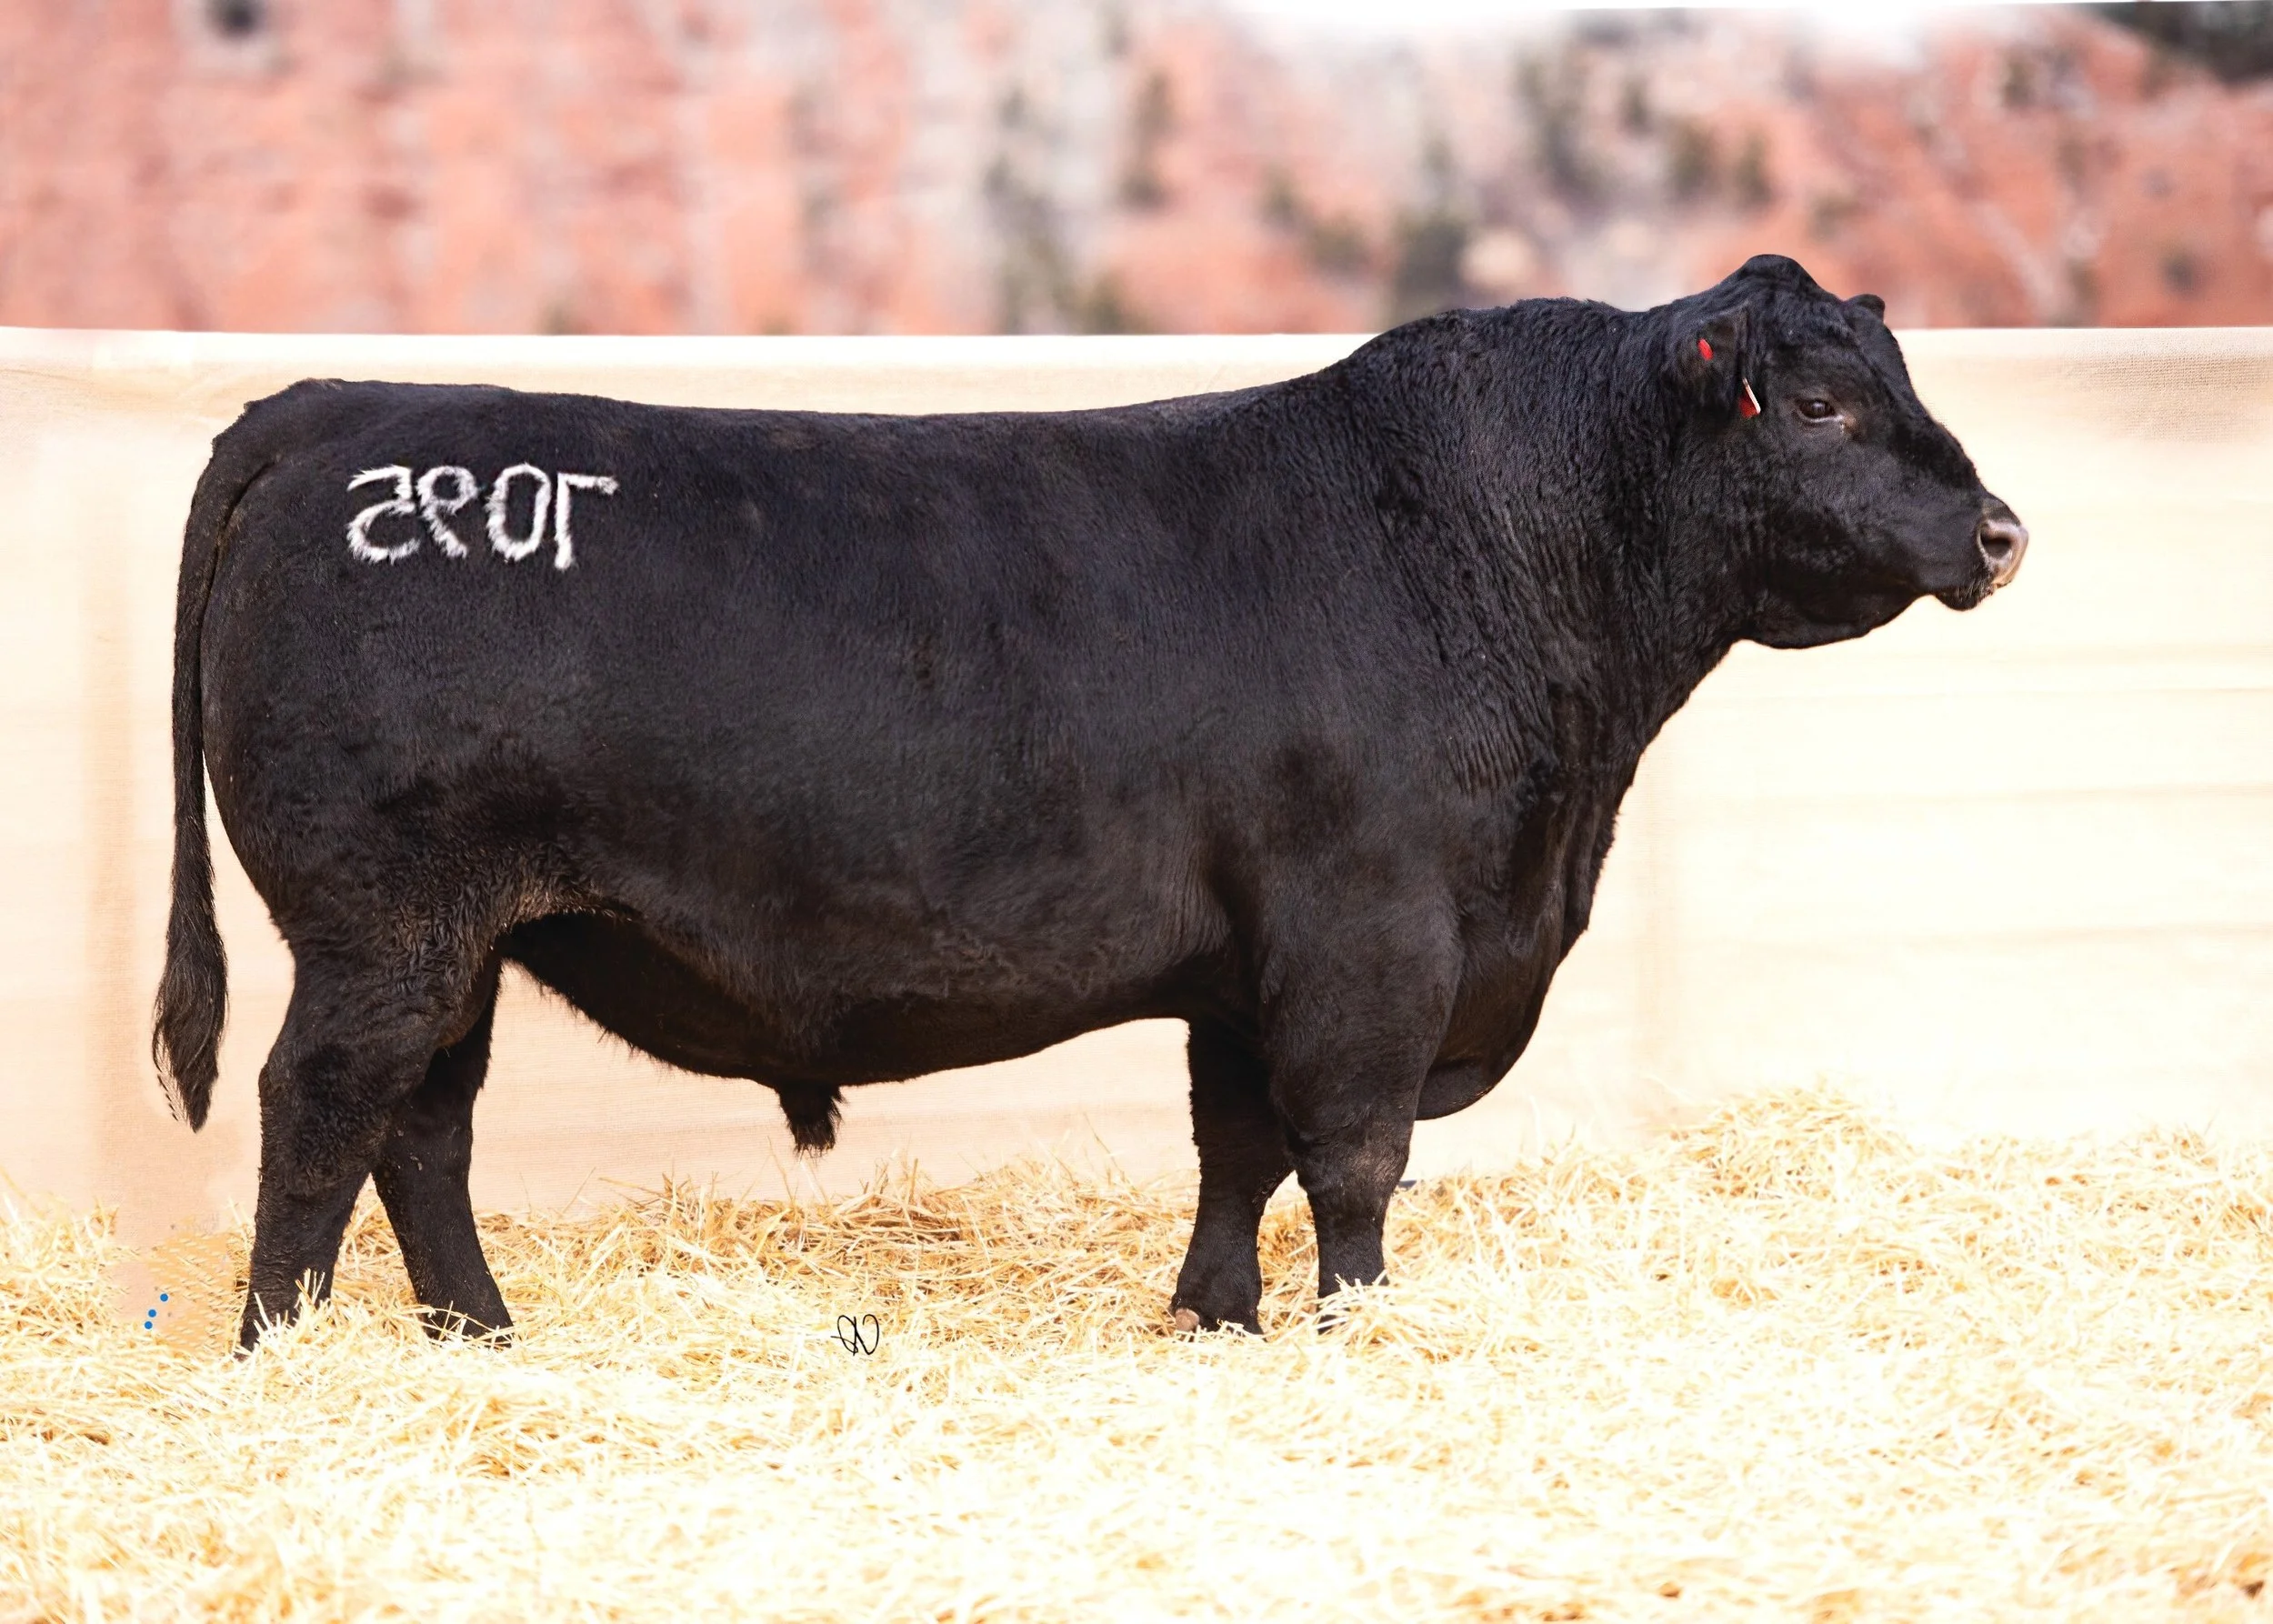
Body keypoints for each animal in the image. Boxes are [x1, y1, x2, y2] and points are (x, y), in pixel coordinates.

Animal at [153, 254, 2025, 1349]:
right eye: (1822, 400)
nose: (2001, 528)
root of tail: (348, 402)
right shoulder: (1373, 936)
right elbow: (1354, 1152)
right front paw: (1360, 1336)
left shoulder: (1254, 962)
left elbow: (1238, 1145)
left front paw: (1216, 1320)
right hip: (381, 924)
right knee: (321, 1110)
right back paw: (284, 1351)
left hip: (456, 938)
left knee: (424, 1128)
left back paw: (477, 1335)